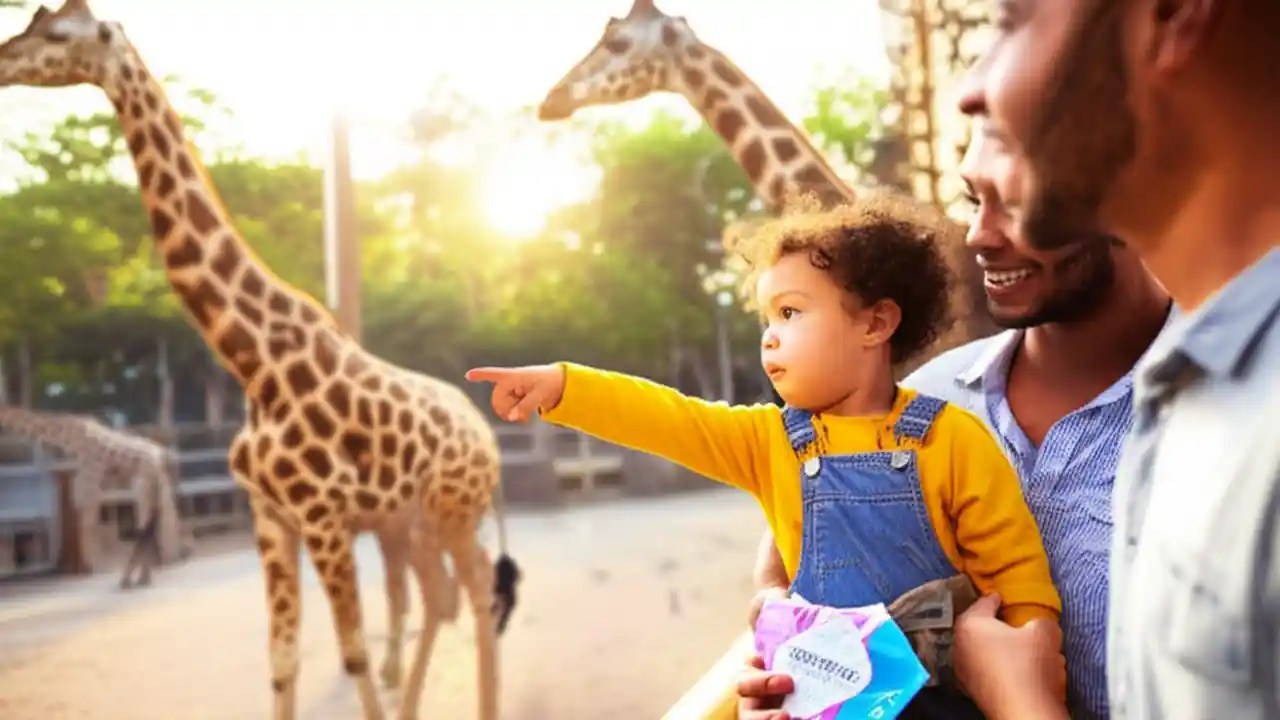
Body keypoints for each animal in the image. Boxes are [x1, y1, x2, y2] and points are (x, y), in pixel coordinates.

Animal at [0, 406, 187, 583]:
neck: (67, 437)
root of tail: (165, 455)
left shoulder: (89, 491)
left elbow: (88, 530)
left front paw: (91, 569)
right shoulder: (83, 493)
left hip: (142, 489)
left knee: (147, 524)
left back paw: (134, 577)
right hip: (160, 490)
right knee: (163, 520)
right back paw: (149, 573)